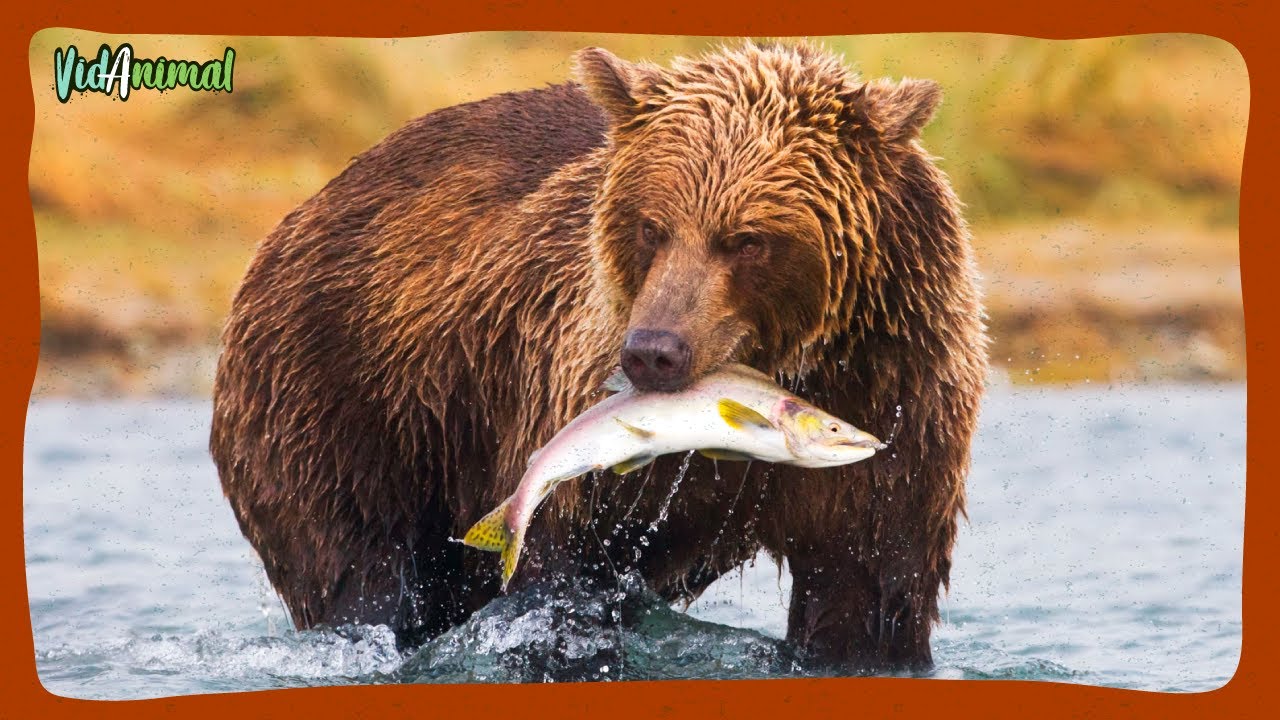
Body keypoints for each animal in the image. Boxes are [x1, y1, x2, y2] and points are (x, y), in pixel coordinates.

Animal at [210, 40, 987, 672]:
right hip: (347, 400)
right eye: (652, 225)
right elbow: (562, 574)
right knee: (363, 575)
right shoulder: (568, 391)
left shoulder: (900, 396)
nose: (653, 353)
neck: (794, 359)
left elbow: (870, 592)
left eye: (747, 239)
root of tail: (300, 215)